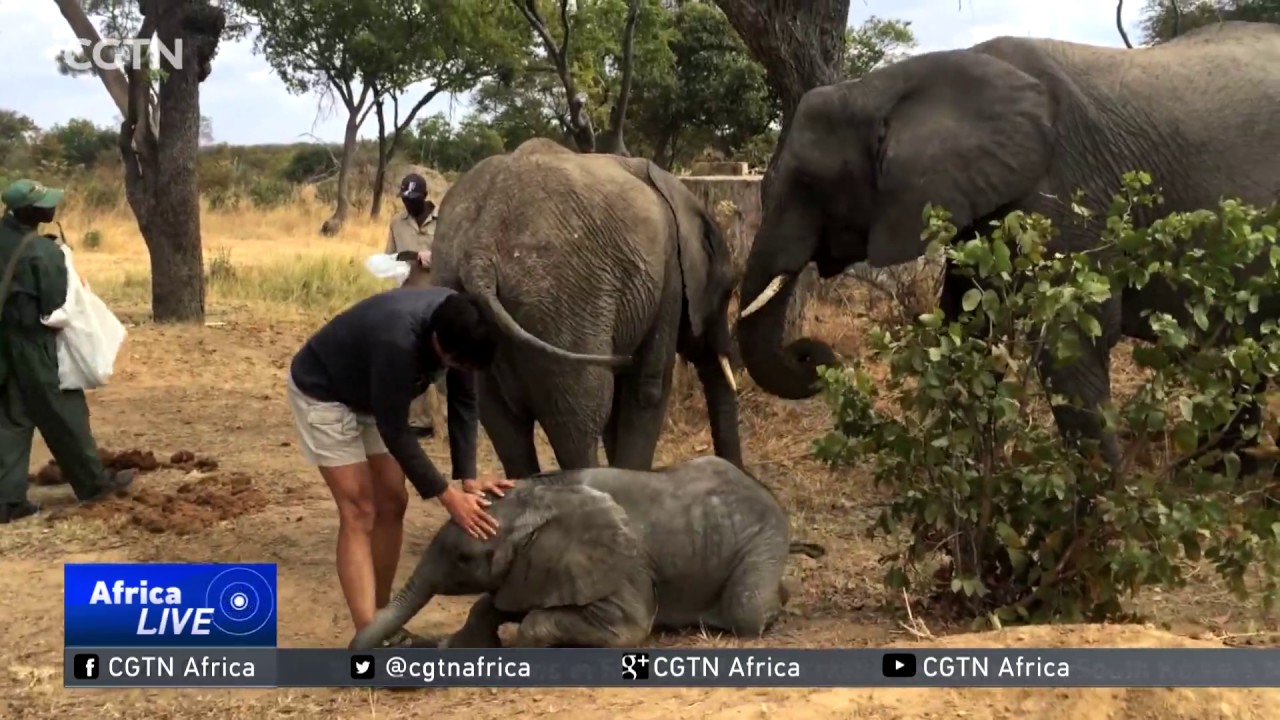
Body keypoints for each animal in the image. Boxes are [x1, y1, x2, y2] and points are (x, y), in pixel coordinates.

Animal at [347, 456, 825, 650]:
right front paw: (458, 645)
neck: (542, 495)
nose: (403, 641)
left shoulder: (623, 566)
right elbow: (491, 603)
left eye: (465, 558)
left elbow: (629, 626)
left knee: (747, 611)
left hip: (762, 538)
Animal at [428, 137, 742, 476]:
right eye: (728, 289)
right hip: (562, 304)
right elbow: (647, 390)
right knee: (580, 422)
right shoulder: (669, 278)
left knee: (504, 427)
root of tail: (480, 250)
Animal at [735, 22, 1280, 471]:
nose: (810, 354)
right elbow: (968, 323)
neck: (886, 88)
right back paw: (1218, 463)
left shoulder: (1067, 187)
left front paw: (1093, 521)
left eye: (810, 184)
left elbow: (1070, 339)